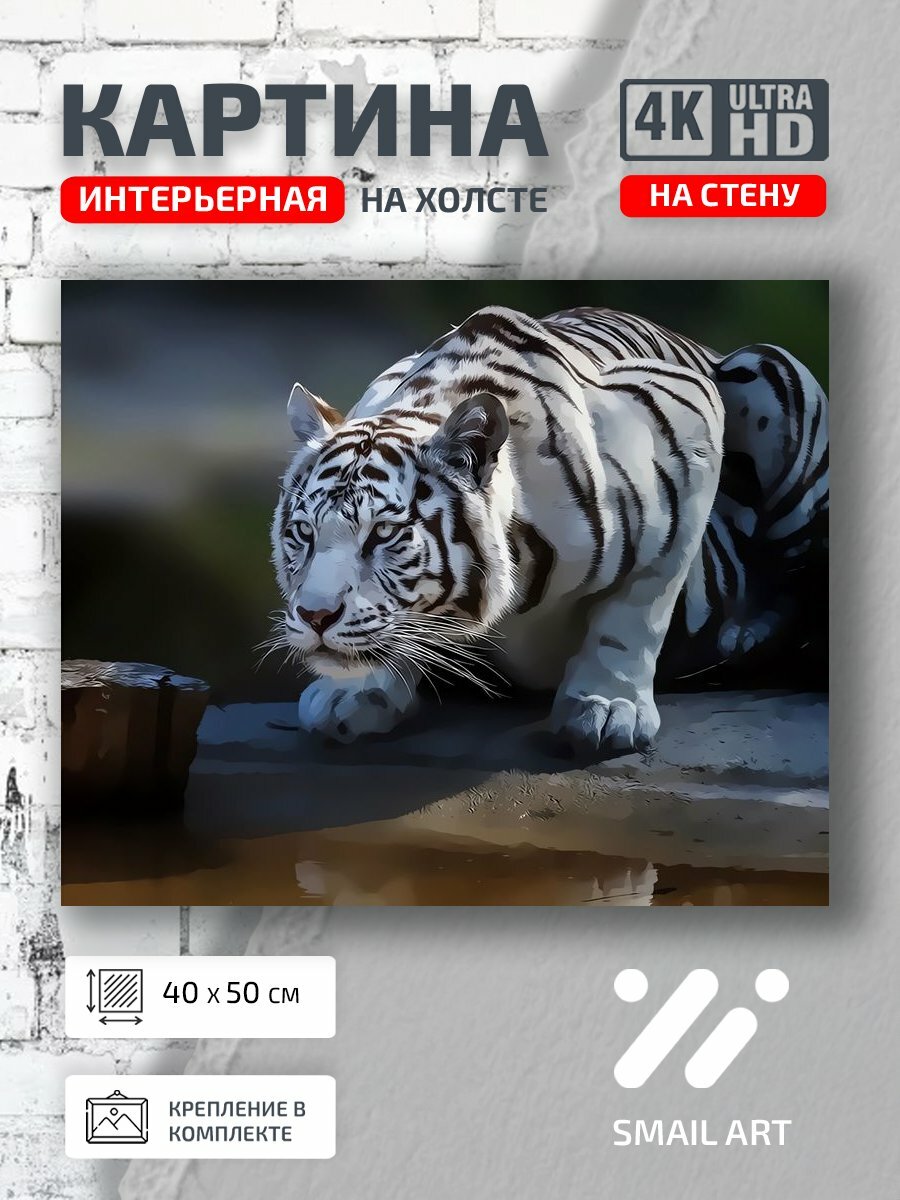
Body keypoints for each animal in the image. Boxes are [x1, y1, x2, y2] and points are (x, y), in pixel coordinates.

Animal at [269, 305, 828, 760]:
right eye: (303, 533)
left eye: (383, 533)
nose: (315, 617)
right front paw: (353, 691)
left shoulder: (687, 422)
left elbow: (639, 605)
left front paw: (608, 707)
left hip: (772, 371)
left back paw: (744, 634)